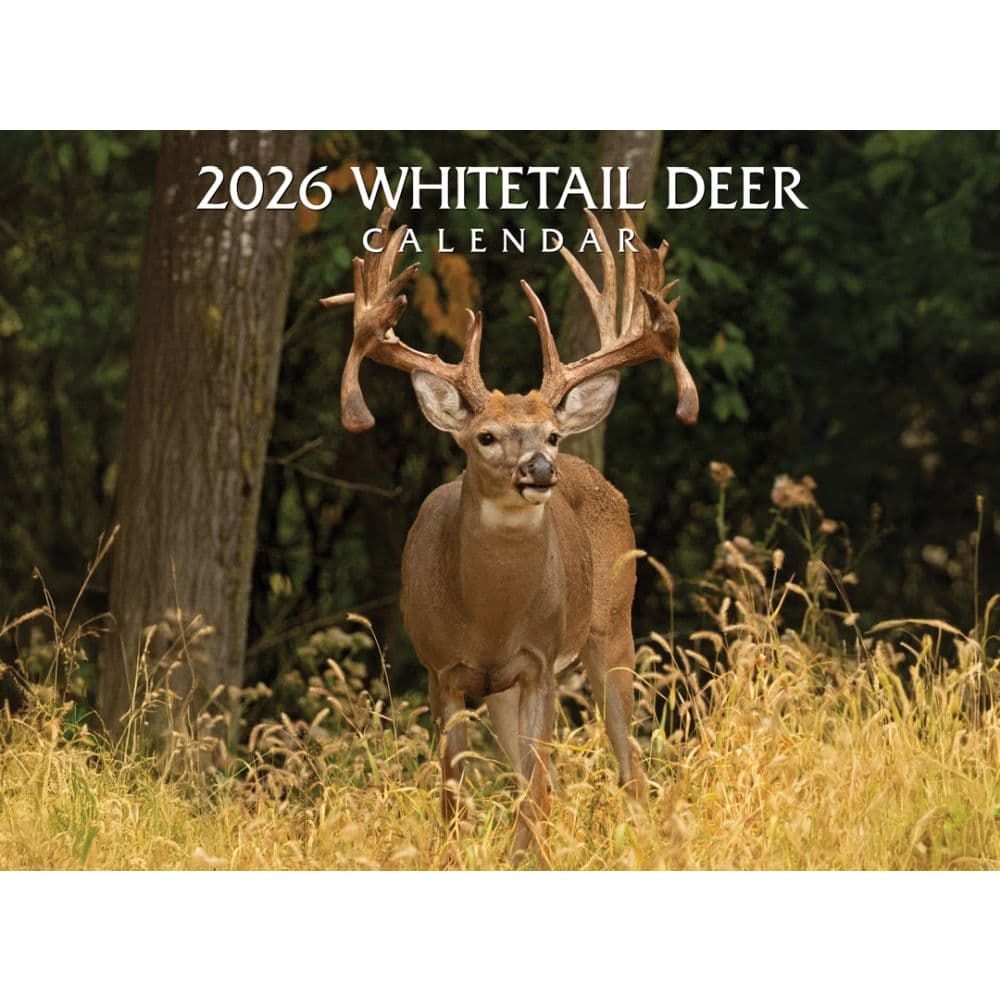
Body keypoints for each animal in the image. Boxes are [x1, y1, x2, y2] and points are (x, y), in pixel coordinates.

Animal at [322, 207, 698, 858]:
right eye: (486, 436)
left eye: (551, 433)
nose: (540, 469)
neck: (489, 621)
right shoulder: (440, 668)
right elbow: (454, 796)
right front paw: (455, 859)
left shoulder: (540, 661)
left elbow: (539, 789)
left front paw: (530, 859)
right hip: (502, 690)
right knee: (538, 776)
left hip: (612, 625)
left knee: (625, 765)